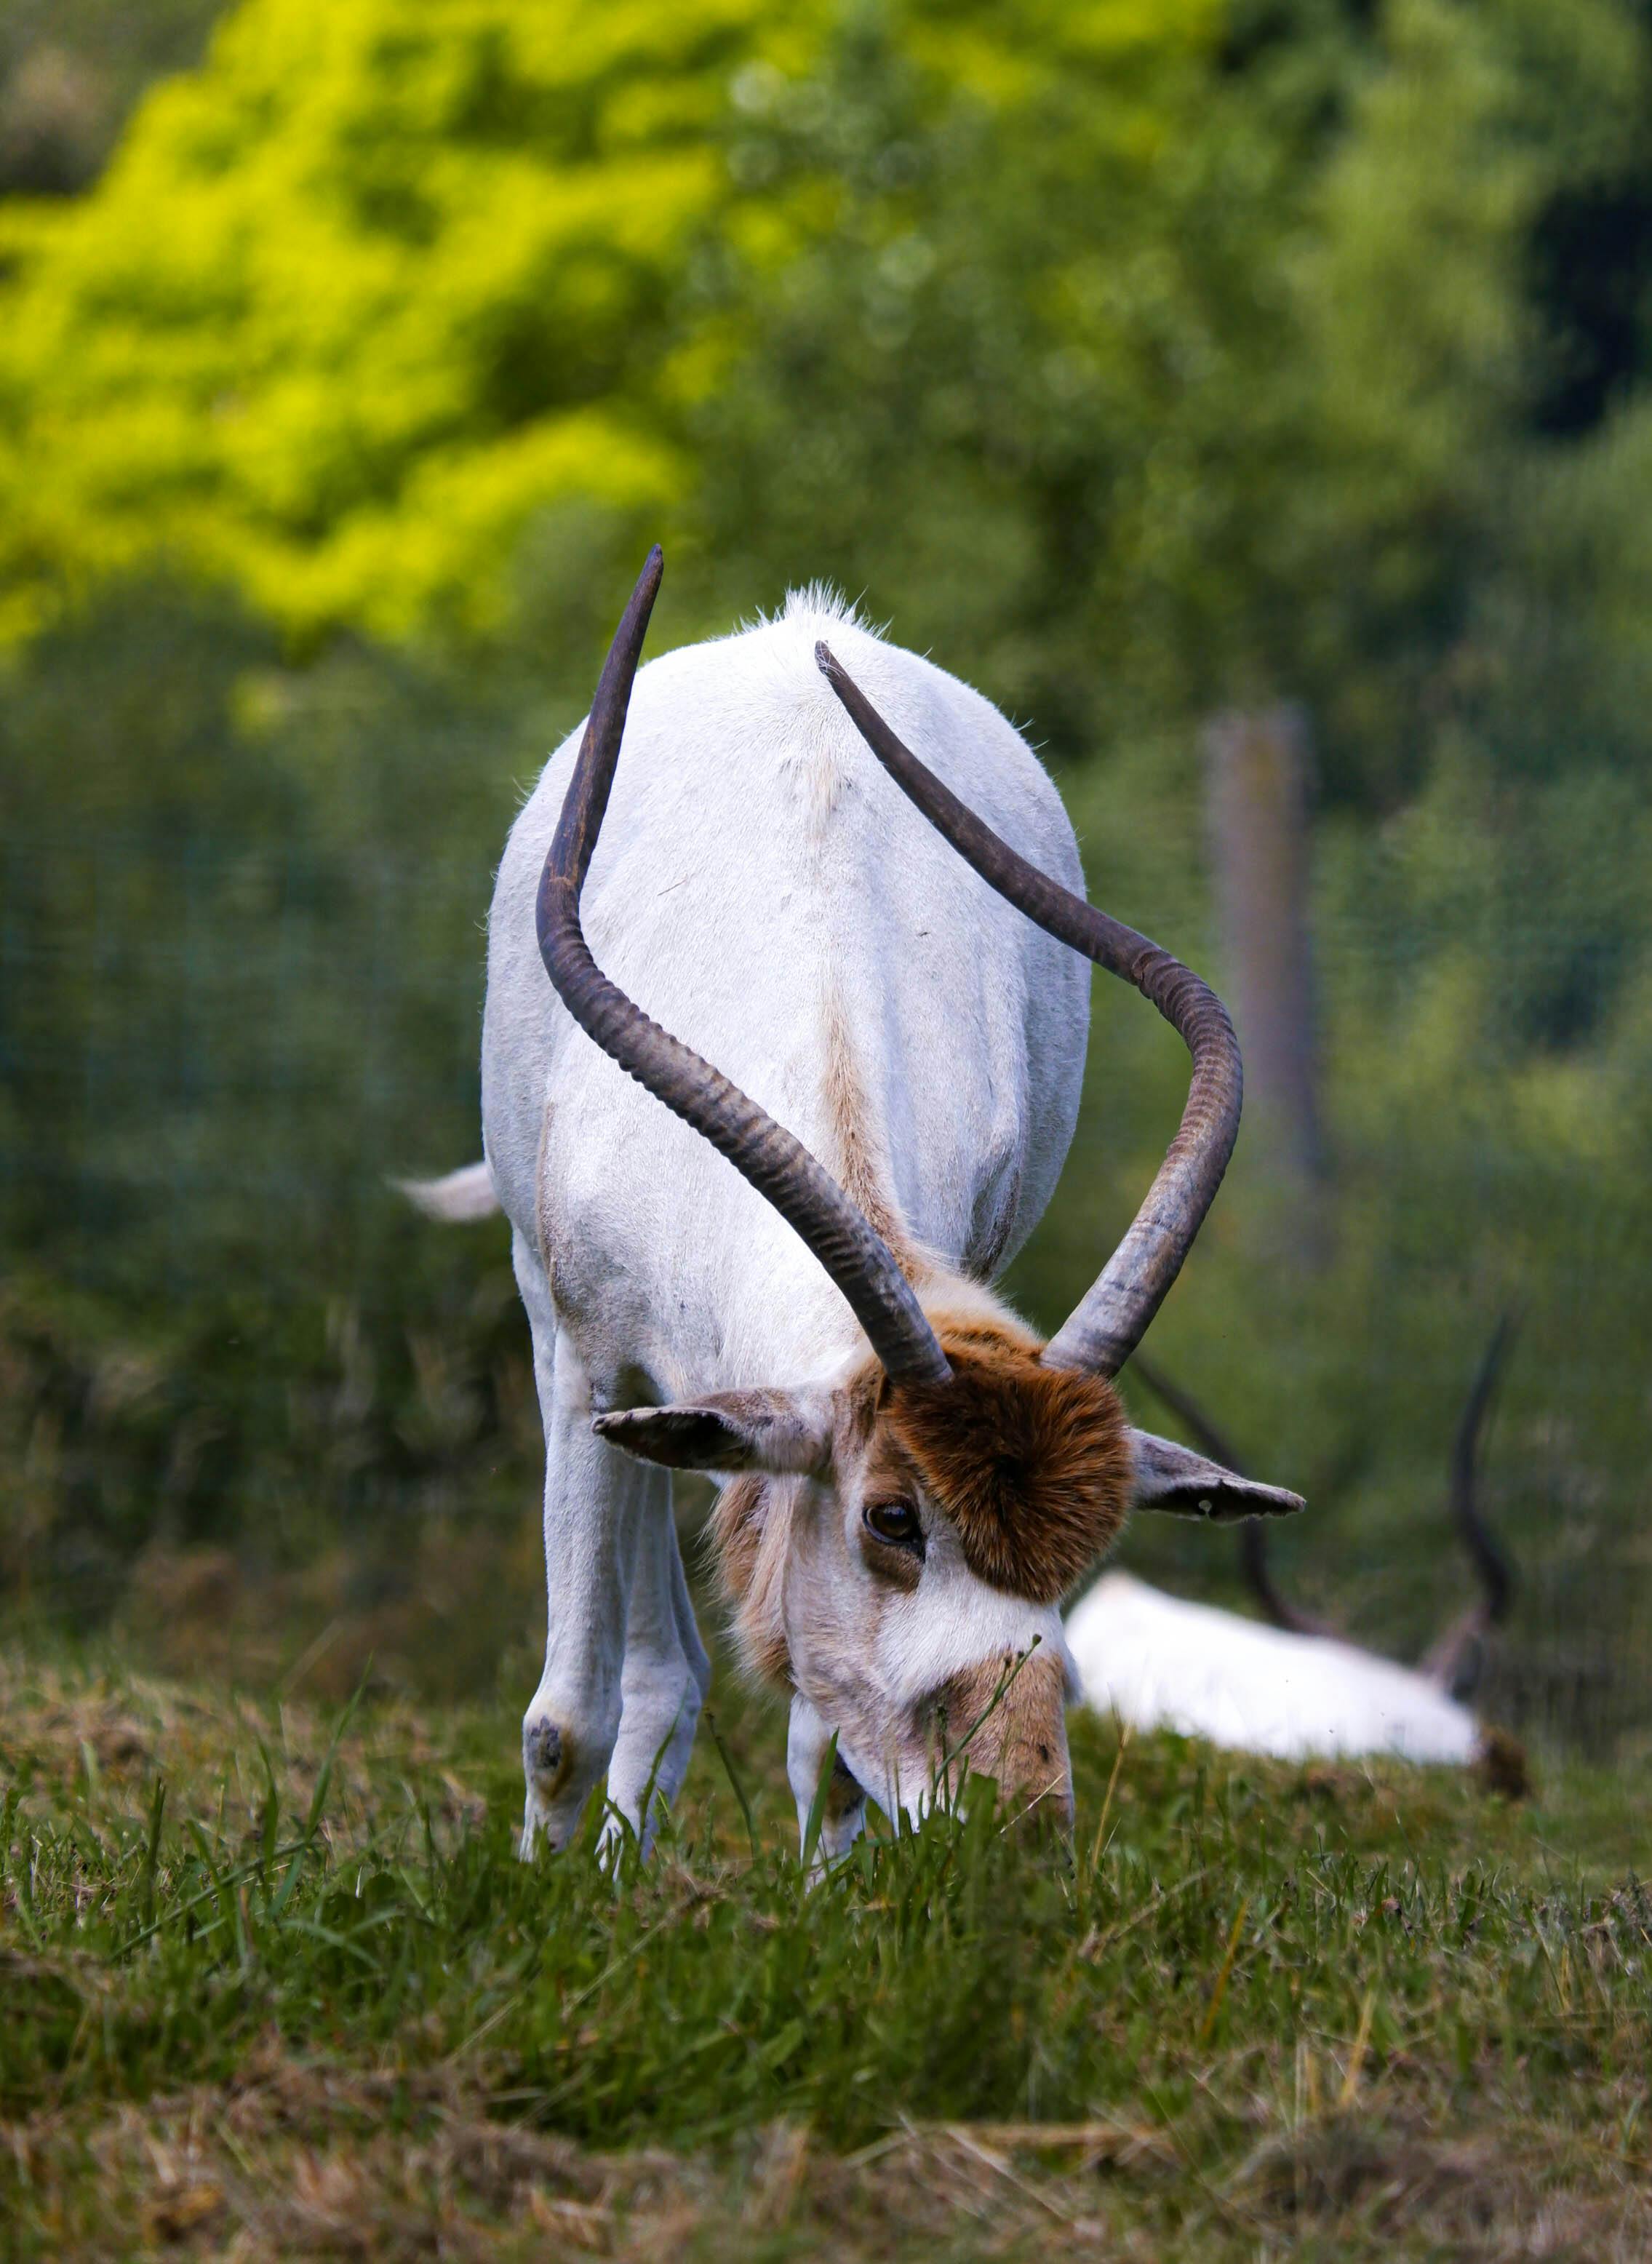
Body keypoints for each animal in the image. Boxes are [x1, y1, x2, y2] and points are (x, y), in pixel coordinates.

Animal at [409, 550, 1302, 1860]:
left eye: (1086, 1544)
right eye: (892, 1518)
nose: (1021, 1822)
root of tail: (802, 633)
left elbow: (824, 1753)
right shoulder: (588, 1362)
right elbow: (564, 1719)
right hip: (564, 1326)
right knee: (653, 1663)